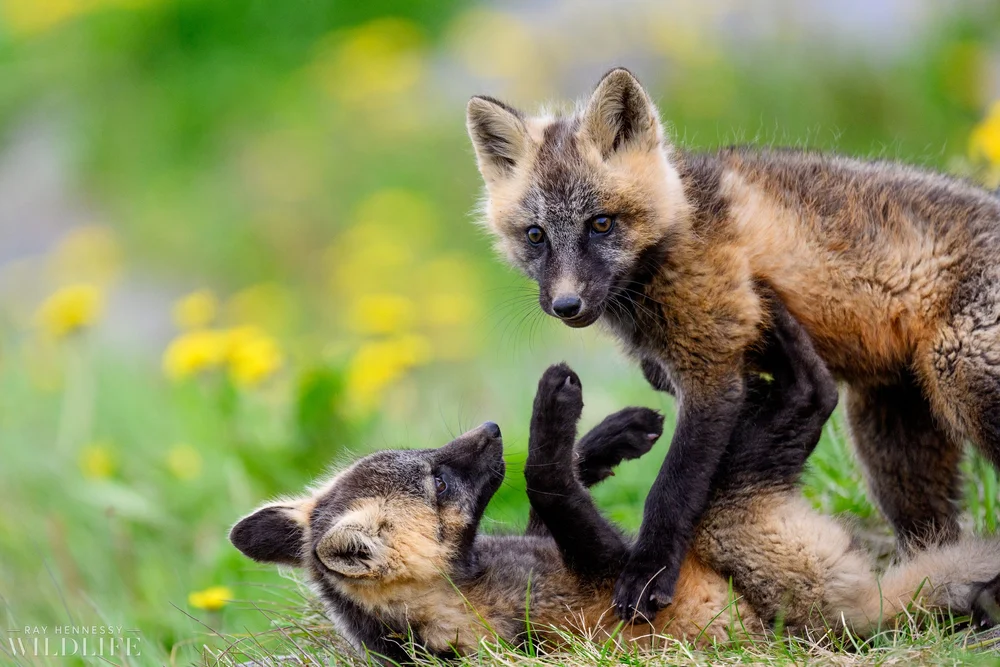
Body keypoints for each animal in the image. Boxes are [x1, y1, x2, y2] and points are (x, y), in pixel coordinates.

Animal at [230, 304, 1000, 663]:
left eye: (421, 453)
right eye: (436, 476)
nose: (490, 430)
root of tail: (860, 618)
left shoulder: (569, 551)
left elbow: (556, 490)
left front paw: (613, 433)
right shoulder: (609, 587)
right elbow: (548, 483)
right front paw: (554, 414)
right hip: (745, 517)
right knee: (809, 401)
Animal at [465, 66, 1000, 620]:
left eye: (601, 224)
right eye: (536, 236)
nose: (566, 305)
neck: (679, 232)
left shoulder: (712, 371)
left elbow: (671, 489)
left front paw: (647, 575)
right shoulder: (694, 364)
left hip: (958, 375)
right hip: (890, 439)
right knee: (935, 535)